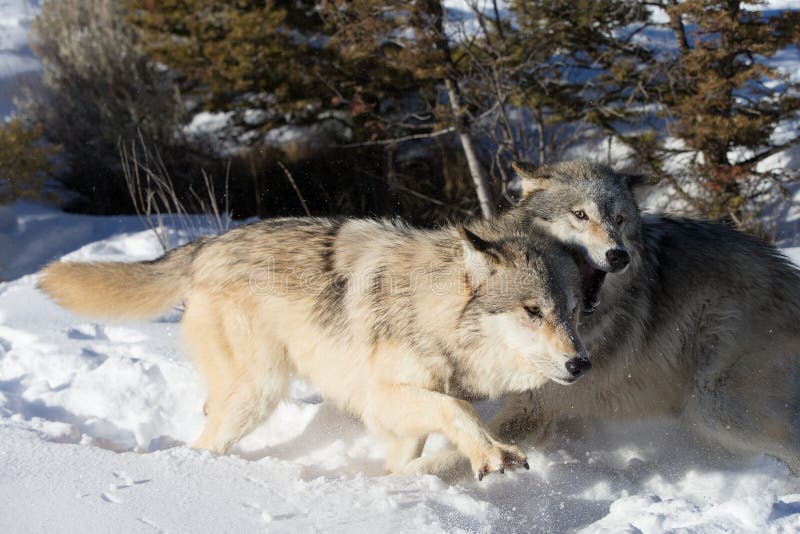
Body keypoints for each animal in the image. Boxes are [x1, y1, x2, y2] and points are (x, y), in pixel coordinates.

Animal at [38, 216, 592, 479]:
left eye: (572, 312)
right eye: (533, 311)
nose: (580, 363)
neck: (430, 312)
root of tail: (208, 244)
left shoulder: (401, 421)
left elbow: (414, 449)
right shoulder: (382, 397)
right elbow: (459, 410)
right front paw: (492, 455)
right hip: (257, 394)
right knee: (205, 442)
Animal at [490, 159, 800, 472]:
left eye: (619, 219)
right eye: (580, 214)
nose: (618, 255)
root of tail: (788, 272)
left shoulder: (535, 409)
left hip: (714, 406)